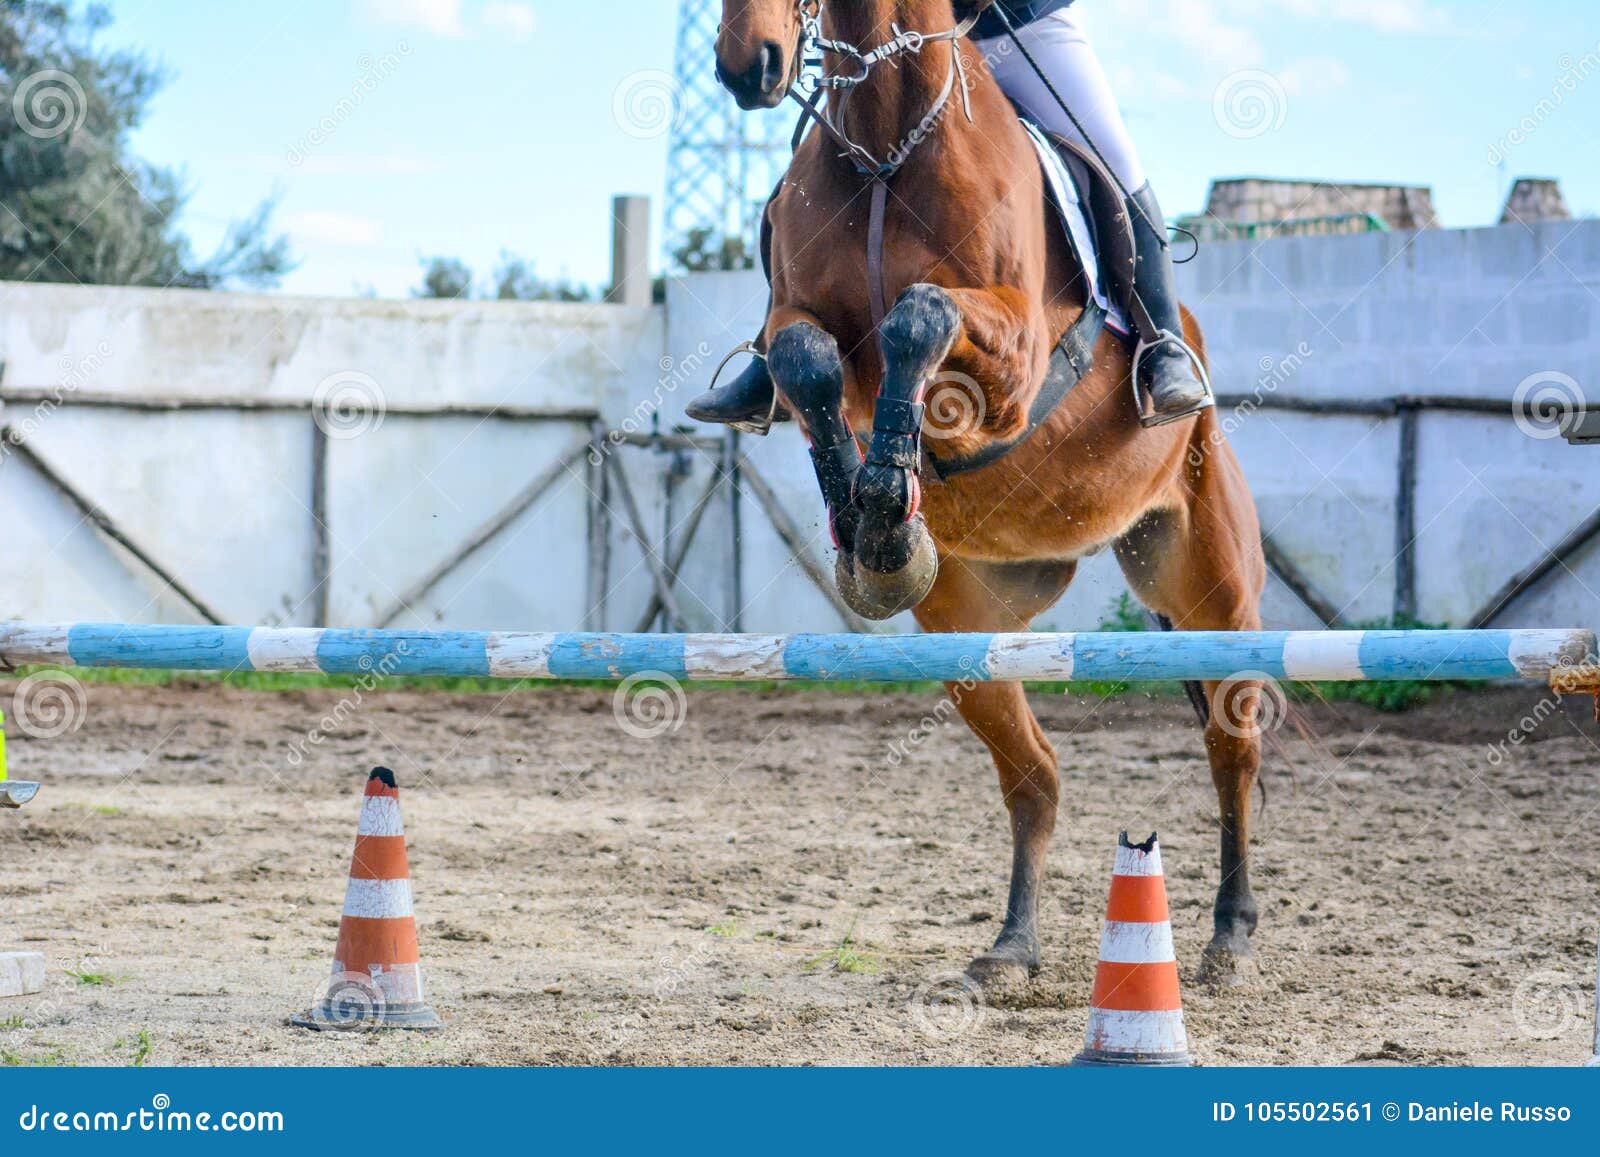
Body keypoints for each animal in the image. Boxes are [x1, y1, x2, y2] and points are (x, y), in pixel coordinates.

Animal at [714, 0, 1268, 988]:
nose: (750, 68)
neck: (885, 146)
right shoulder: (796, 323)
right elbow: (804, 359)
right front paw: (873, 528)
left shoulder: (1009, 361)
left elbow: (920, 315)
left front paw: (884, 497)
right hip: (969, 625)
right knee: (1034, 773)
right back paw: (1013, 944)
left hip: (1210, 581)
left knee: (1230, 743)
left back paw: (1230, 936)